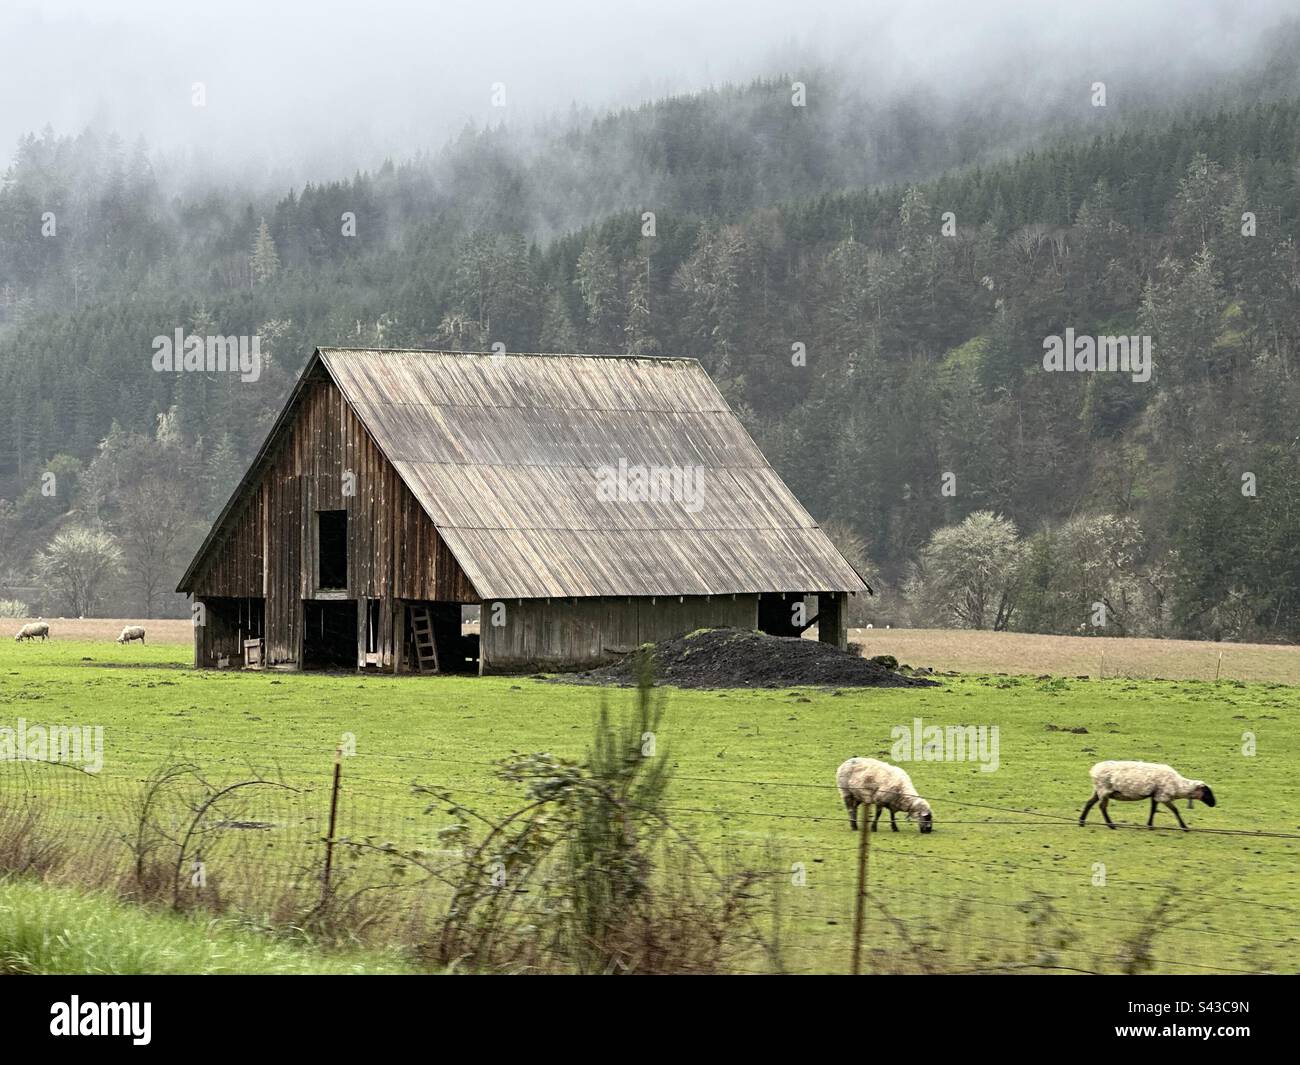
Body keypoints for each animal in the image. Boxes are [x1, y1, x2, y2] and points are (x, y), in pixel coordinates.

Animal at [1079, 760, 1217, 831]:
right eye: (1207, 791)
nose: (1214, 804)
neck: (1178, 785)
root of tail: (1094, 770)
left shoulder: (1155, 795)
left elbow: (1153, 810)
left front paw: (1150, 825)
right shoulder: (1163, 796)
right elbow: (1175, 810)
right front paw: (1184, 827)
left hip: (1098, 790)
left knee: (1089, 803)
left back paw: (1081, 822)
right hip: (1104, 790)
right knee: (1102, 807)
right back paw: (1111, 825)